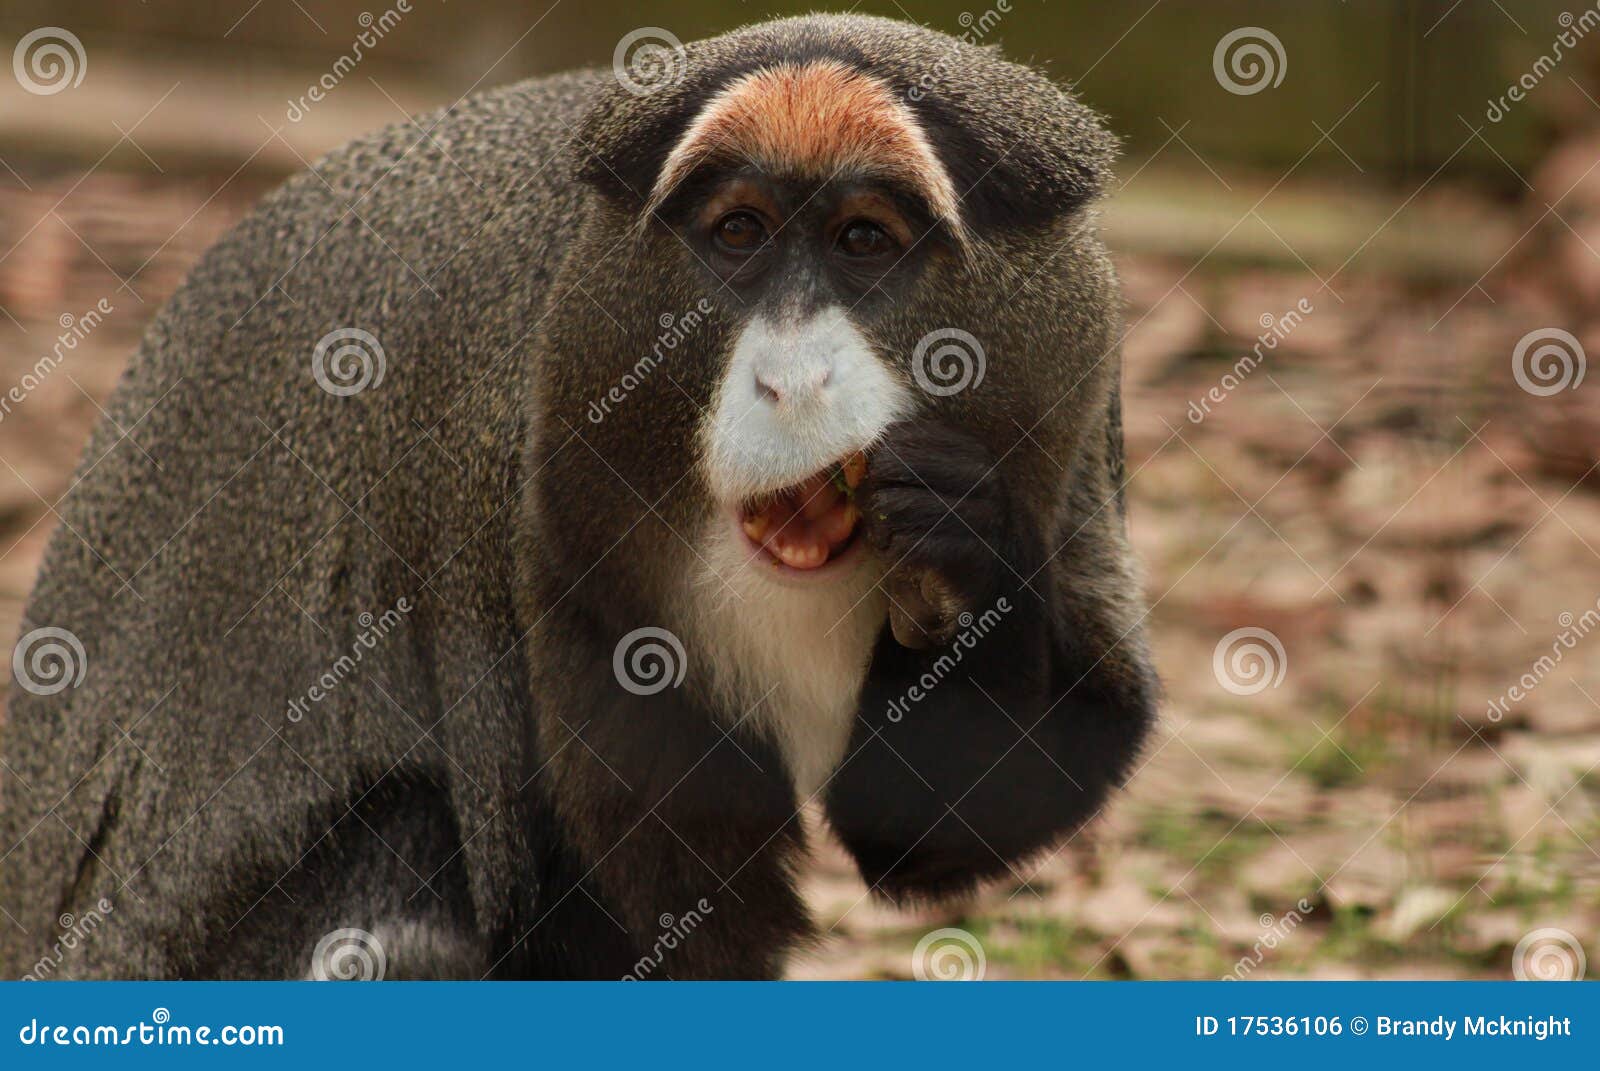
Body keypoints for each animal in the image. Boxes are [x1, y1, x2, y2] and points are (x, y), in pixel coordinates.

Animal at [0, 13, 1158, 980]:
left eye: (863, 240)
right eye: (738, 233)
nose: (791, 384)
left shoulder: (1075, 424)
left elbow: (942, 820)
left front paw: (960, 550)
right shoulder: (518, 495)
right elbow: (649, 911)